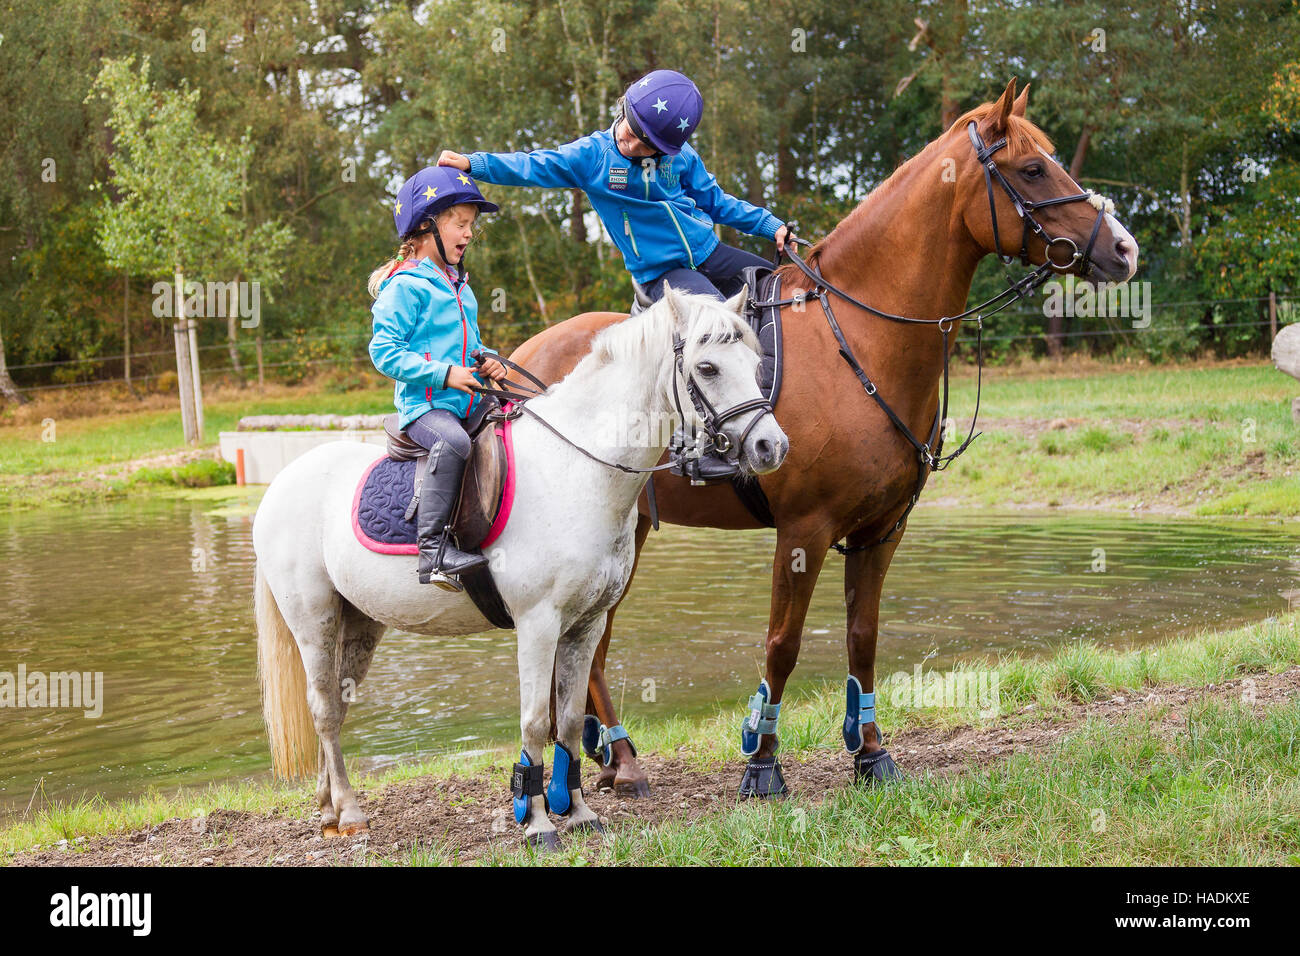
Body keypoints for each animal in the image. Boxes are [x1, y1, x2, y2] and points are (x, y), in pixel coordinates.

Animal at [252, 284, 789, 848]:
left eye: (756, 363)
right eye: (707, 367)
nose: (771, 446)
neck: (579, 466)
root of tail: (282, 481)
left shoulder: (585, 624)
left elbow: (569, 721)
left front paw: (579, 813)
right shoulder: (538, 623)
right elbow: (535, 722)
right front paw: (536, 824)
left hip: (360, 621)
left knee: (336, 702)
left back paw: (327, 807)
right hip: (314, 620)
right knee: (323, 709)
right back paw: (350, 813)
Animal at [509, 80, 1140, 796]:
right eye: (1033, 169)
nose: (1124, 249)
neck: (861, 339)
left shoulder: (882, 530)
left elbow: (863, 638)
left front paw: (870, 752)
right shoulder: (803, 531)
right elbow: (782, 645)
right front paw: (761, 762)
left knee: (591, 644)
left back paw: (608, 755)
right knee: (590, 643)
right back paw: (620, 757)